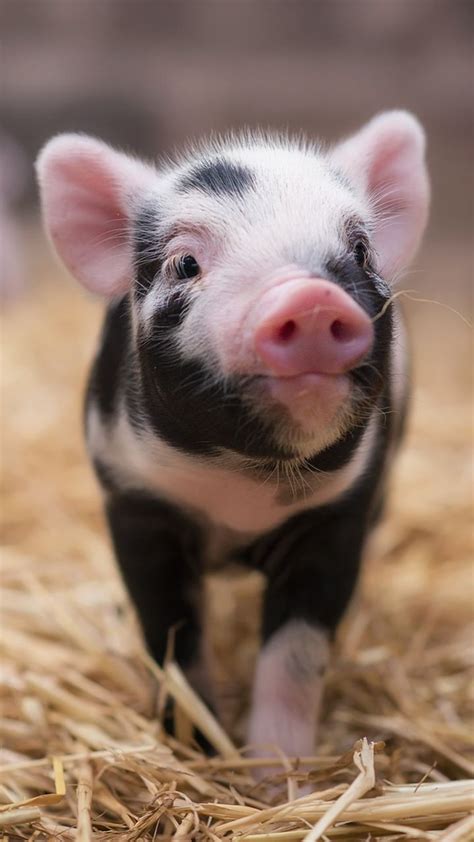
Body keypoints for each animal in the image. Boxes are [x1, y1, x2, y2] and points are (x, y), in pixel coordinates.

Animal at [36, 111, 429, 767]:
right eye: (185, 264)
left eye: (359, 249)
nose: (311, 297)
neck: (242, 494)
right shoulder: (137, 507)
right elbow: (172, 639)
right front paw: (197, 752)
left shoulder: (337, 519)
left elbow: (296, 658)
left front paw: (278, 773)